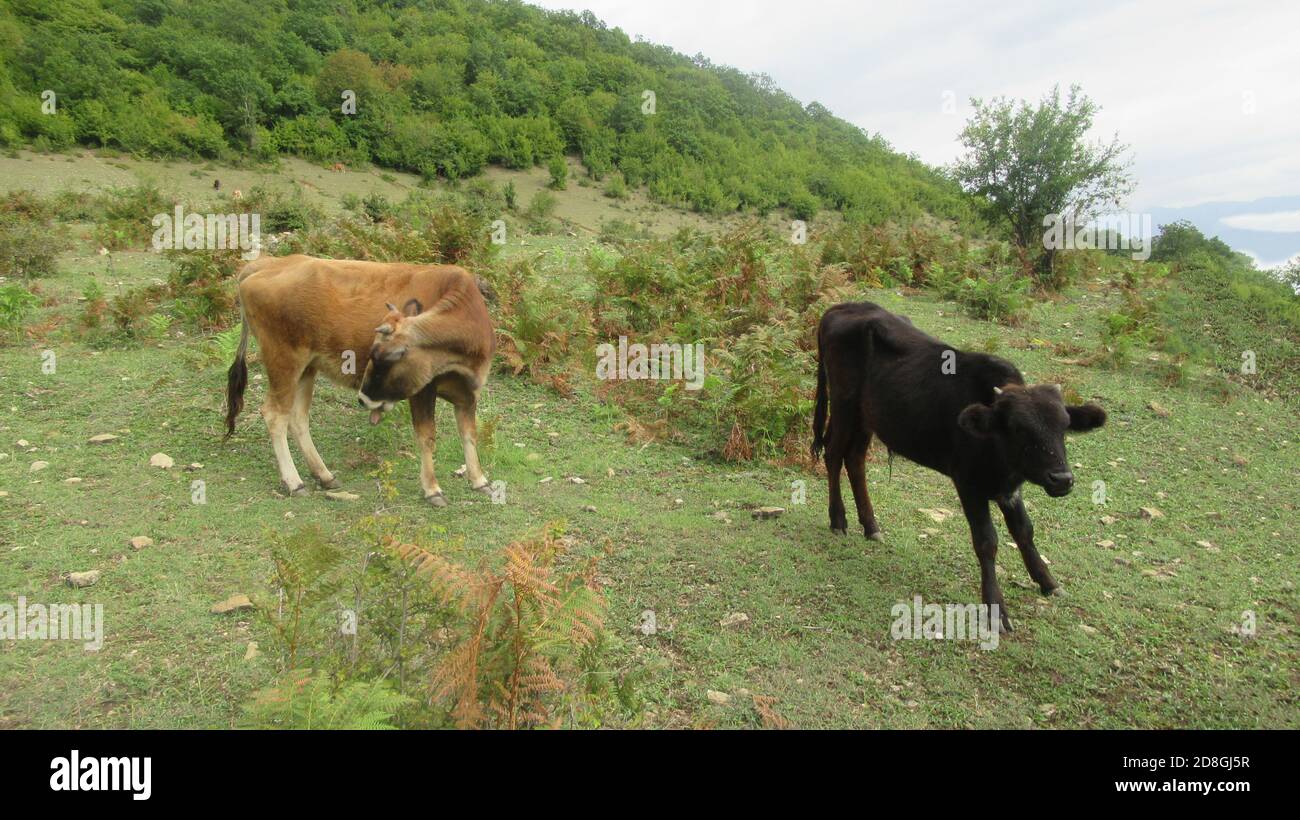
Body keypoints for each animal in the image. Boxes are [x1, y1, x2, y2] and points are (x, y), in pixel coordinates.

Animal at [224, 254, 495, 506]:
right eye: (371, 354)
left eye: (390, 357)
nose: (363, 399)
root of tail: (268, 264)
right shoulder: (423, 390)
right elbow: (427, 436)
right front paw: (432, 489)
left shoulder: (468, 391)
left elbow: (469, 433)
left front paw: (479, 480)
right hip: (284, 362)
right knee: (275, 414)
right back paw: (294, 482)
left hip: (307, 367)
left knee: (298, 417)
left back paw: (324, 475)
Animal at [811, 301, 1106, 632]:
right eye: (1018, 429)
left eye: (1064, 427)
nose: (1062, 478)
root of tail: (842, 308)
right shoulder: (968, 483)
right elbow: (987, 541)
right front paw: (996, 608)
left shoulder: (1009, 490)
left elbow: (1024, 531)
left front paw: (1048, 581)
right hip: (844, 406)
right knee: (834, 454)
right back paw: (838, 519)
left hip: (867, 418)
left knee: (855, 459)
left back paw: (871, 525)